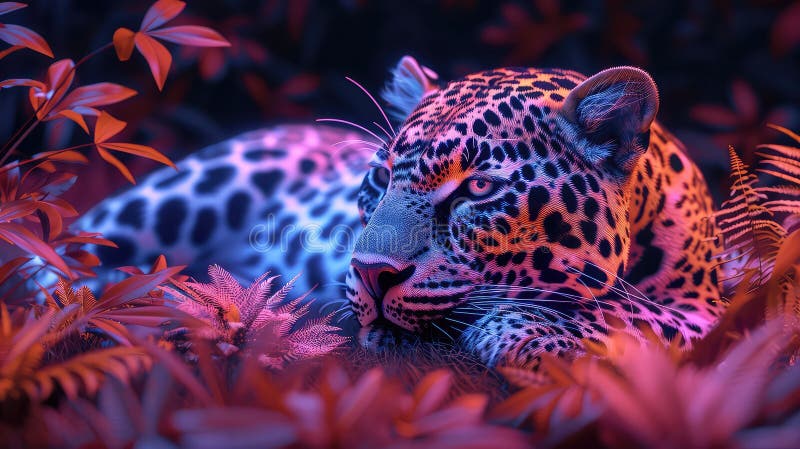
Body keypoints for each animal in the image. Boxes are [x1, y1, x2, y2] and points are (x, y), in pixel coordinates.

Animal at [79, 55, 726, 368]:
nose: (370, 274)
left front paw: (524, 325)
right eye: (382, 177)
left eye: (478, 189)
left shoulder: (714, 312)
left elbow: (643, 316)